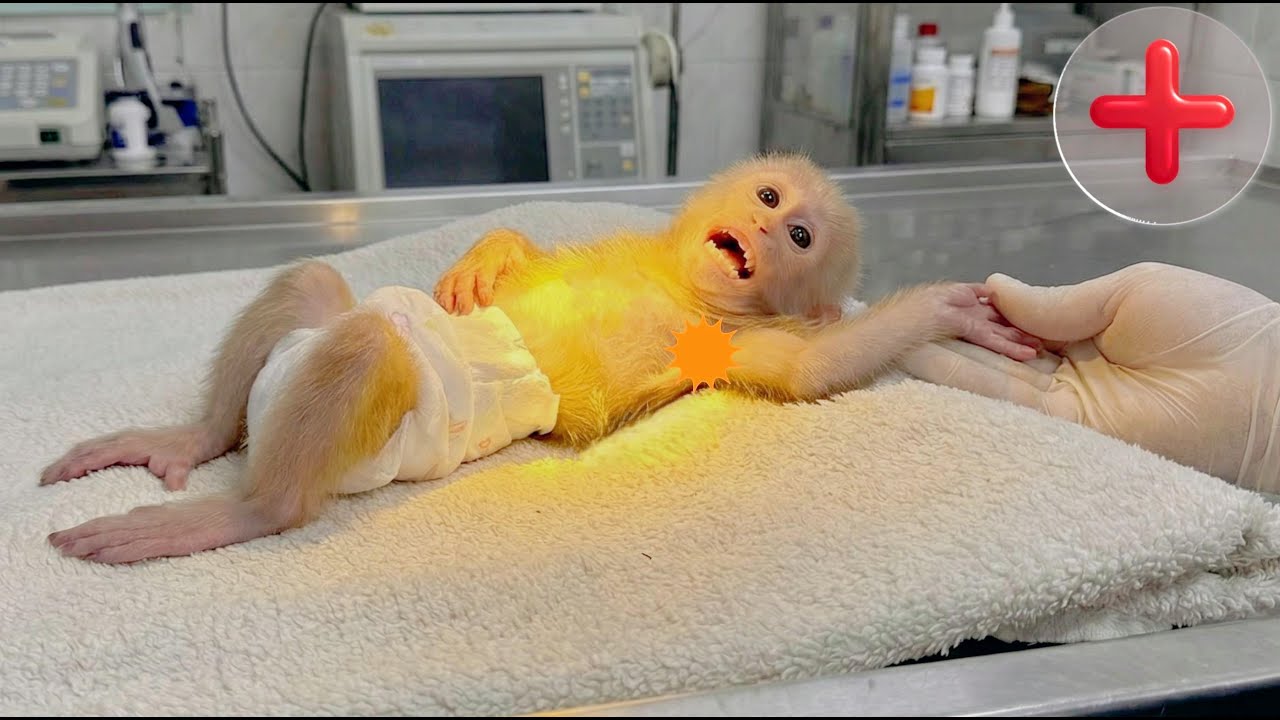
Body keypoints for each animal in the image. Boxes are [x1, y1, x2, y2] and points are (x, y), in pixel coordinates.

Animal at [40, 153, 1040, 564]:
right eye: (767, 197)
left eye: (800, 237)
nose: (760, 233)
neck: (686, 286)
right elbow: (524, 249)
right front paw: (485, 262)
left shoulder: (743, 341)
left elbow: (811, 371)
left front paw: (945, 308)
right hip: (293, 358)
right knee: (316, 287)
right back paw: (187, 440)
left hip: (396, 429)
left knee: (358, 356)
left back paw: (242, 511)